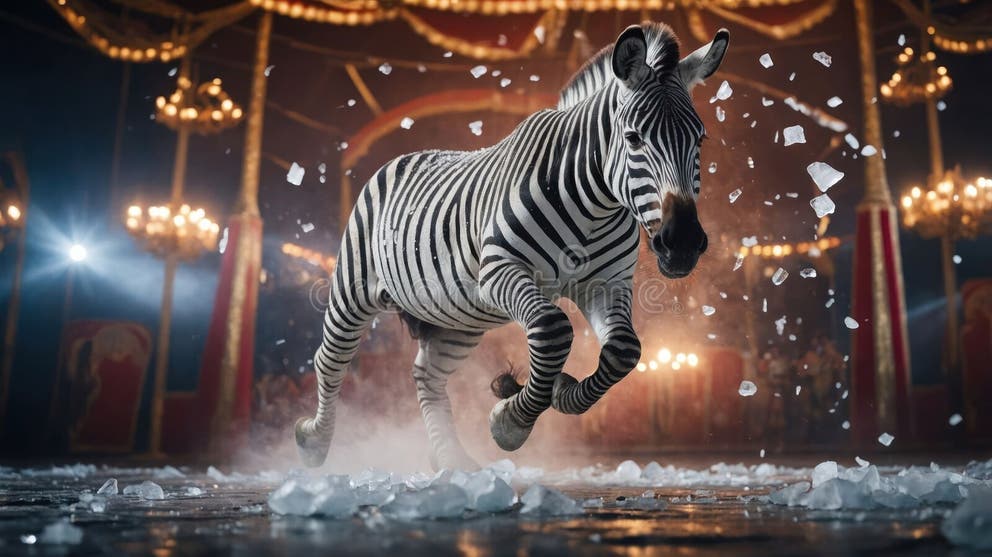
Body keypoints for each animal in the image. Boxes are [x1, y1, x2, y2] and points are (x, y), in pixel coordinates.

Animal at [295, 22, 729, 470]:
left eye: (700, 139)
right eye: (633, 138)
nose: (682, 243)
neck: (595, 207)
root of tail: (402, 158)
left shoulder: (605, 283)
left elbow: (623, 351)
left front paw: (556, 390)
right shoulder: (500, 272)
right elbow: (553, 329)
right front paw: (511, 421)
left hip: (459, 317)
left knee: (427, 374)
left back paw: (451, 458)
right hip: (354, 291)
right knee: (329, 361)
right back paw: (314, 441)